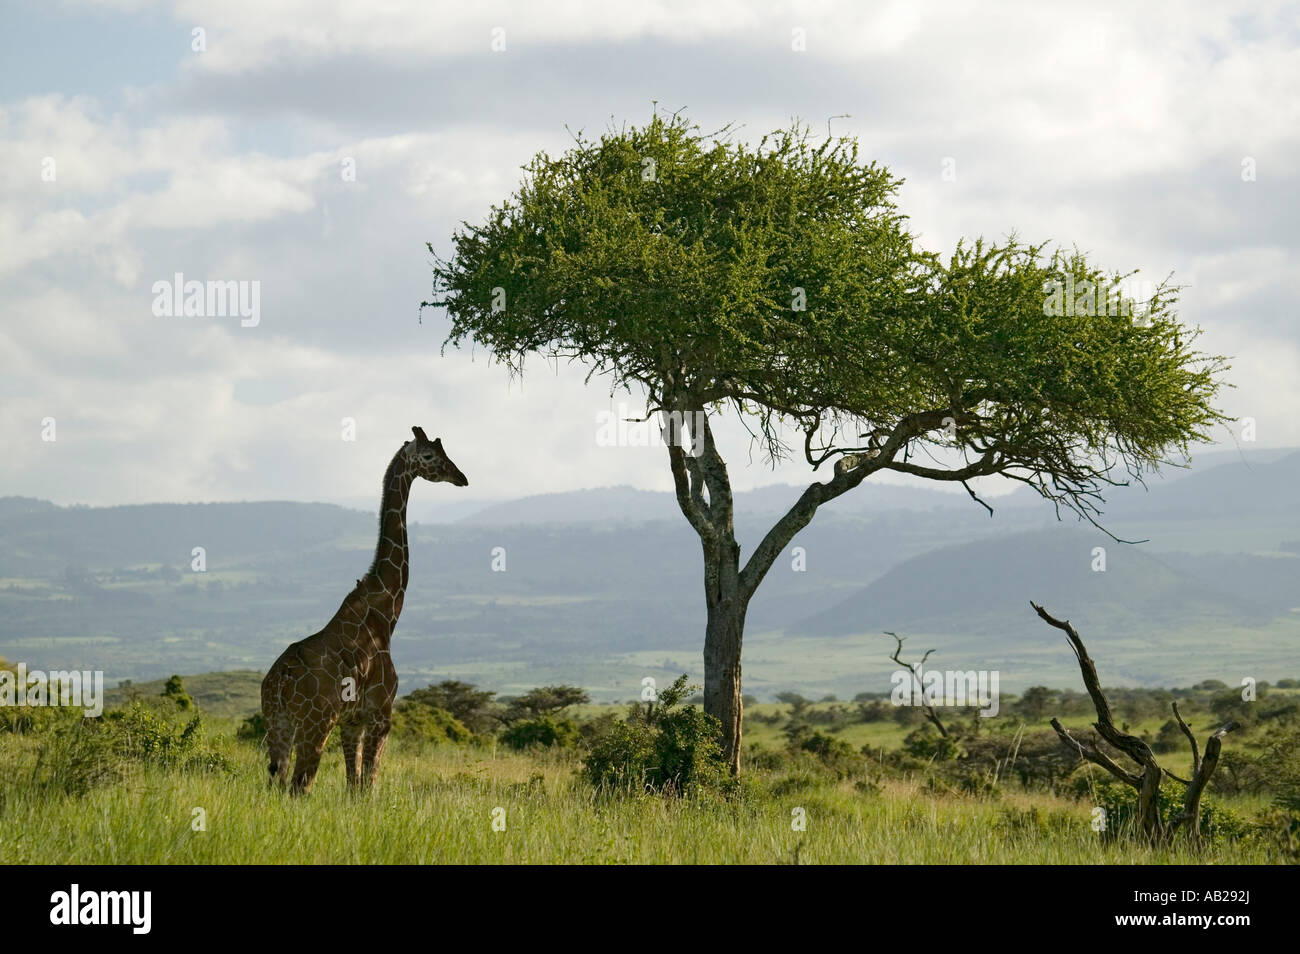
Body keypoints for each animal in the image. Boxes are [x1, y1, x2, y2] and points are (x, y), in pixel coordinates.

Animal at [260, 426, 468, 794]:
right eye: (429, 456)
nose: (462, 477)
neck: (386, 612)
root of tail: (279, 681)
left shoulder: (352, 722)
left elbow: (352, 785)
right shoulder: (381, 714)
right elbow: (368, 784)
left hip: (277, 726)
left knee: (277, 783)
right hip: (315, 725)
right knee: (300, 786)